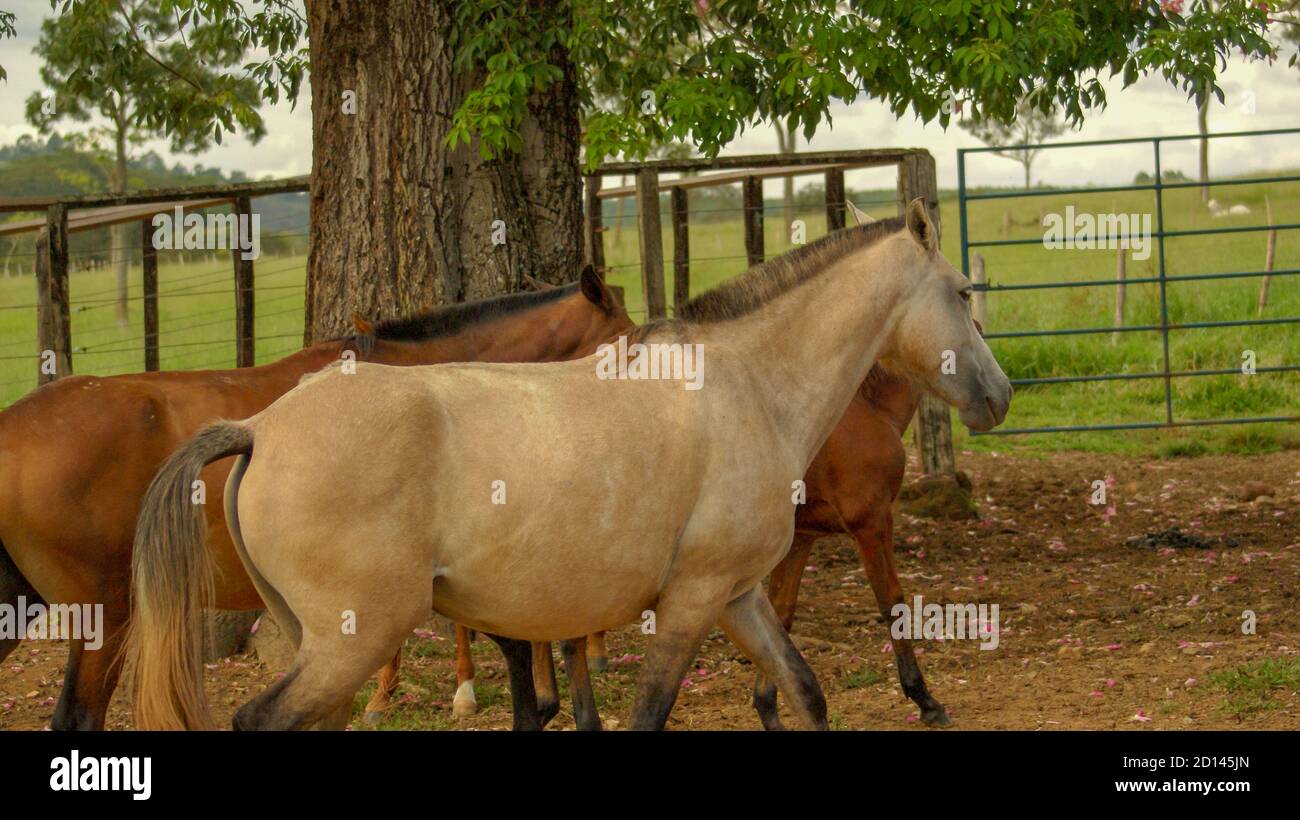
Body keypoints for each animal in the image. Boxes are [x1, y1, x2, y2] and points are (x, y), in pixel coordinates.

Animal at [128, 199, 1011, 730]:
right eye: (963, 293)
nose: (999, 395)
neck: (749, 386)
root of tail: (258, 428)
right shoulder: (691, 603)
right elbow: (650, 715)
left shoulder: (739, 596)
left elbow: (805, 691)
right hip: (352, 639)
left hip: (321, 642)